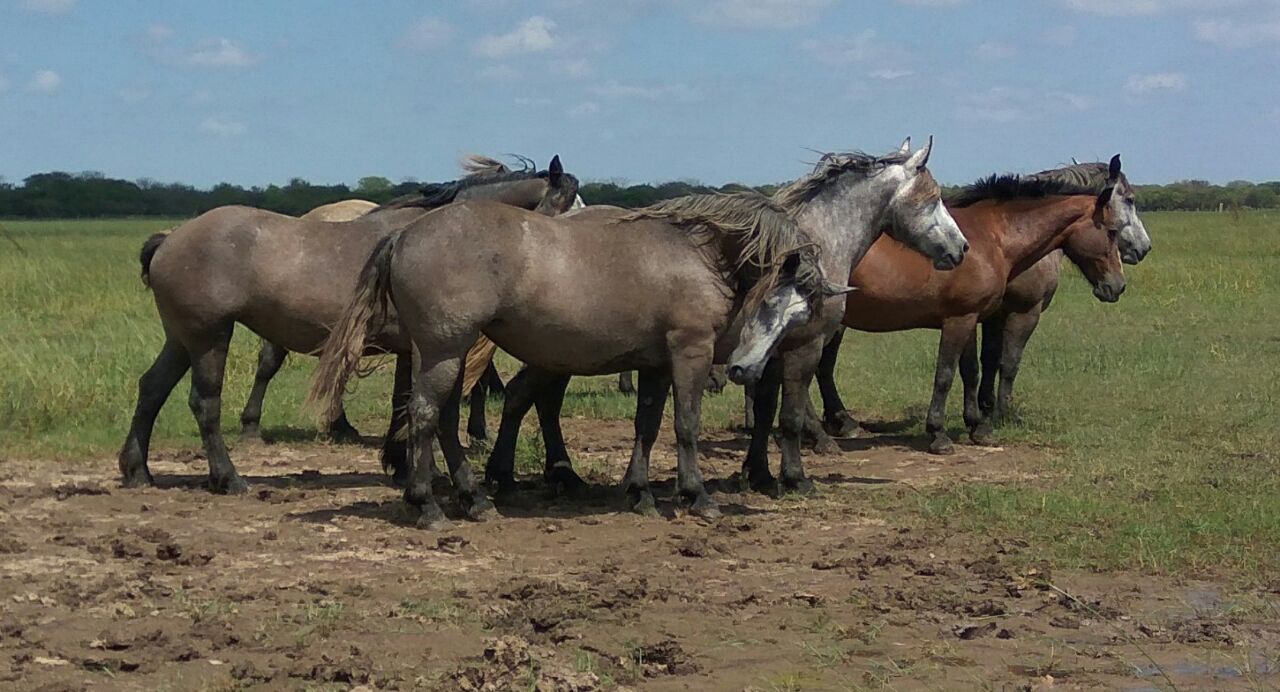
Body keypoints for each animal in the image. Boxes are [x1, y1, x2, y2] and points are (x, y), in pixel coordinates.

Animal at [117, 155, 579, 494]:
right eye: (568, 204)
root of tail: (171, 238)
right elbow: (409, 404)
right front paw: (412, 470)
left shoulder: (410, 349)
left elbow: (403, 401)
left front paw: (399, 464)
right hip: (209, 337)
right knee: (204, 403)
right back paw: (228, 478)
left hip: (182, 339)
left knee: (152, 389)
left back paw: (138, 471)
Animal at [309, 138, 968, 528]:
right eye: (933, 196)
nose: (959, 249)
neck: (701, 253)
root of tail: (404, 234)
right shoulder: (702, 354)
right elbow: (704, 424)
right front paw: (716, 492)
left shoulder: (658, 361)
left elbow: (651, 424)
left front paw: (644, 492)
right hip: (447, 350)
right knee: (430, 415)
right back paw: (431, 506)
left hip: (449, 351)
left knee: (451, 415)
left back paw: (478, 495)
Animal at [743, 155, 1143, 459]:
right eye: (1113, 227)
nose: (1119, 284)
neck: (994, 239)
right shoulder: (971, 319)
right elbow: (951, 373)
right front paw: (941, 434)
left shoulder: (971, 317)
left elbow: (972, 371)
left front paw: (978, 426)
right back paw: (821, 437)